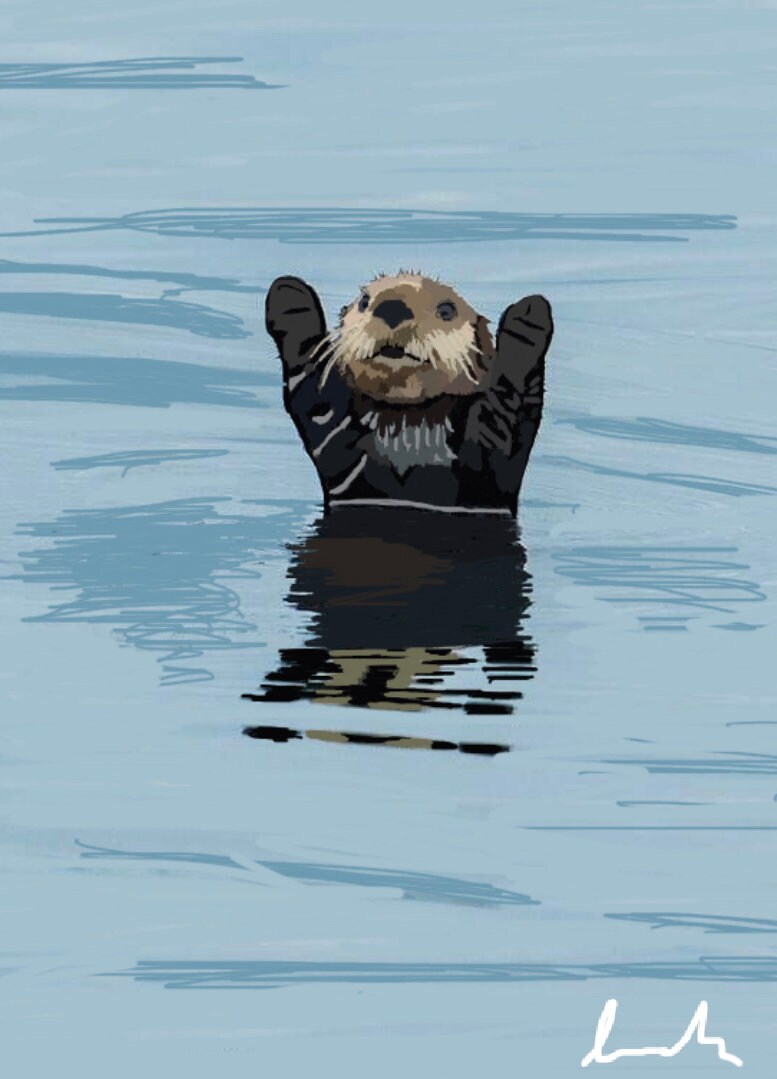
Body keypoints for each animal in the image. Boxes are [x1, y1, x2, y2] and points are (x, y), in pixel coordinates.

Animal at [265, 272, 553, 514]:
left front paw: (529, 316)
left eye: (446, 309)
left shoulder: (486, 473)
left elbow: (504, 418)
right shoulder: (338, 448)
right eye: (364, 301)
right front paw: (289, 296)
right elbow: (319, 399)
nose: (392, 306)